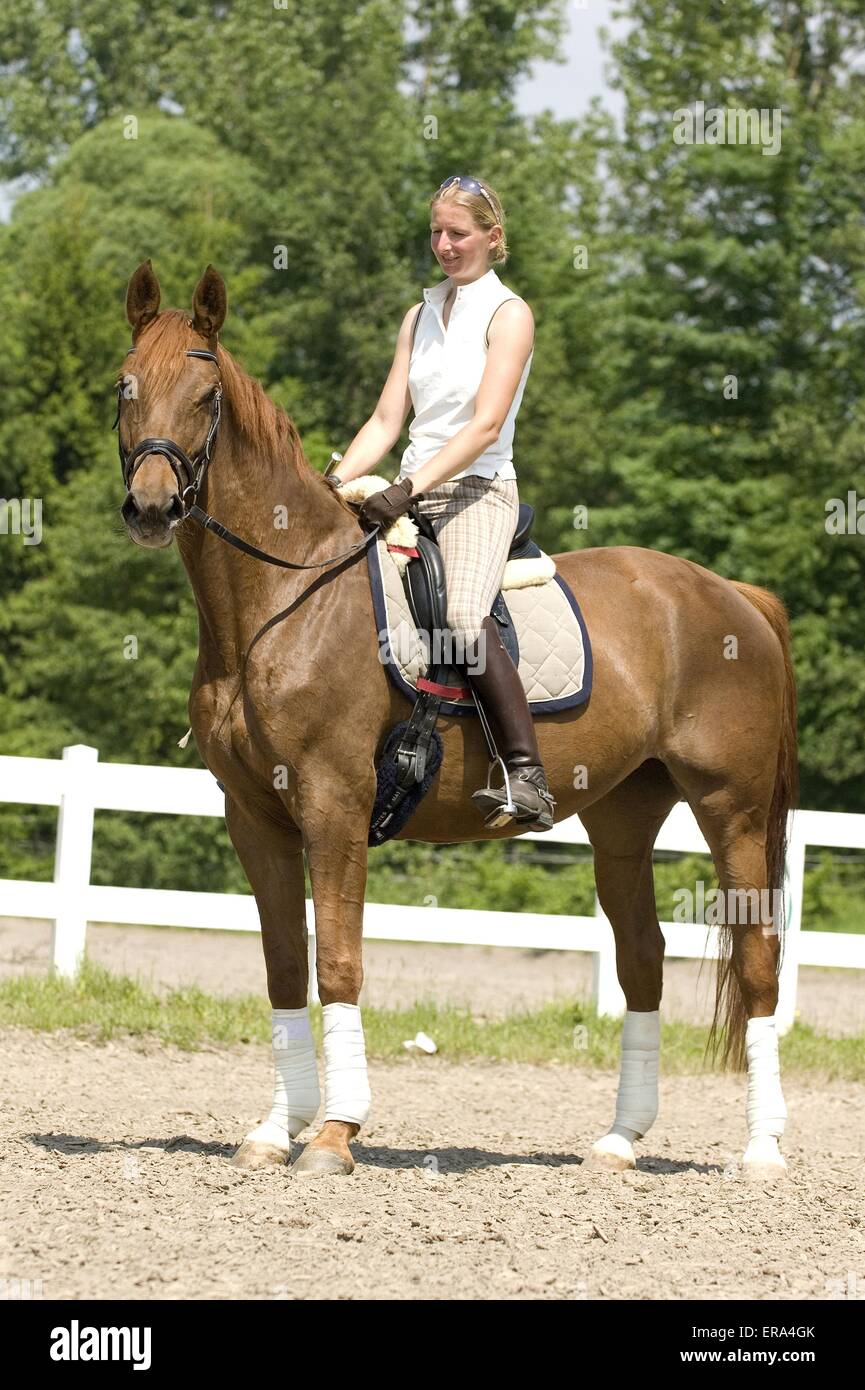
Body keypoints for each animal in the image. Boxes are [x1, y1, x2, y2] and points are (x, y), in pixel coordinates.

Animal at [117, 261, 798, 1183]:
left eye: (205, 395)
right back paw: (619, 1142)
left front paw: (333, 1135)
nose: (152, 507)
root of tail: (734, 596)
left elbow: (337, 962)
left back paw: (760, 1151)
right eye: (125, 387)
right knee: (641, 959)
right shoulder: (253, 815)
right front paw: (273, 1129)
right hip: (625, 816)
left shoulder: (332, 802)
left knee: (757, 961)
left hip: (731, 809)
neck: (282, 599)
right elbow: (284, 967)